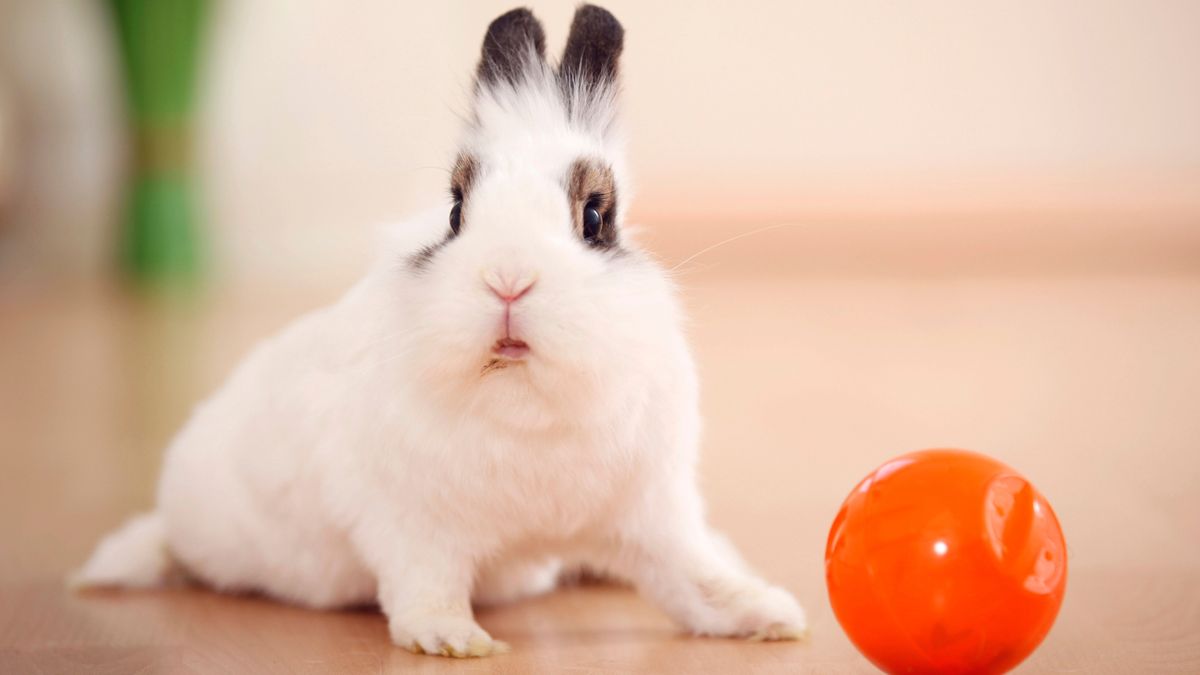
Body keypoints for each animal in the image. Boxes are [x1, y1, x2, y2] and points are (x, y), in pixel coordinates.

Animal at [73, 5, 807, 658]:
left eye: (596, 217)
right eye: (456, 212)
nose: (508, 278)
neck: (524, 401)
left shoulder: (653, 518)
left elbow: (693, 580)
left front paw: (772, 615)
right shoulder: (411, 527)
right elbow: (426, 588)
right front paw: (454, 639)